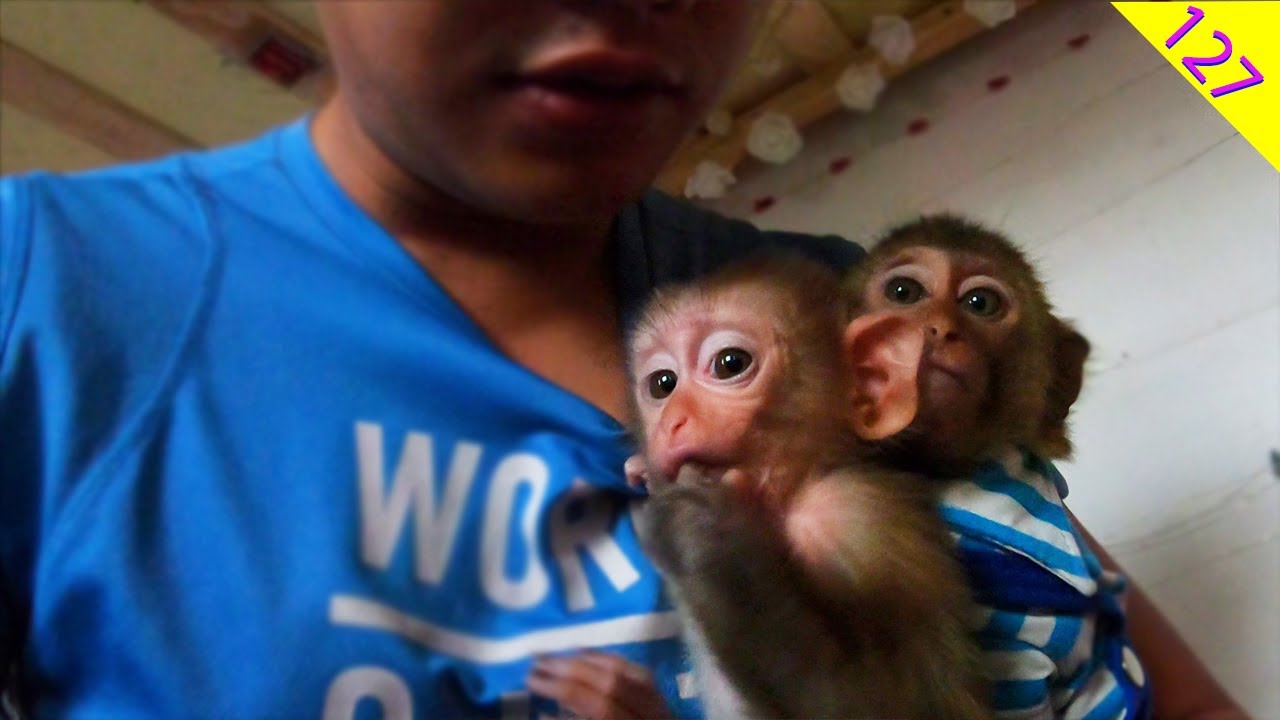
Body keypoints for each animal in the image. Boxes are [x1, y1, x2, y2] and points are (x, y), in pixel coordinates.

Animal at [625, 253, 989, 720]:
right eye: (662, 384)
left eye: (730, 363)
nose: (673, 422)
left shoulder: (856, 521)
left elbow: (877, 700)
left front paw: (705, 529)